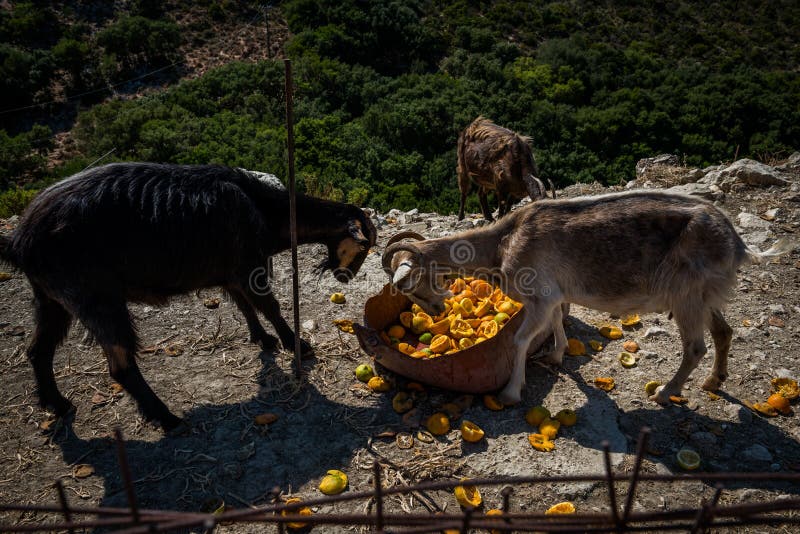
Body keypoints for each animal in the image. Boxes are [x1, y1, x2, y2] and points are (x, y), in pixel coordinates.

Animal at [0, 162, 377, 431]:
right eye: (363, 246)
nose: (346, 277)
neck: (264, 209)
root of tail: (19, 242)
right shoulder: (248, 264)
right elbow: (268, 305)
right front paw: (296, 344)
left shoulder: (230, 273)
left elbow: (244, 305)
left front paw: (264, 340)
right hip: (94, 295)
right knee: (120, 366)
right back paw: (166, 418)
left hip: (52, 297)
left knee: (38, 350)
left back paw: (59, 404)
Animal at [383, 190, 794, 405]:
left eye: (407, 285)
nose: (437, 310)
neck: (503, 242)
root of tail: (737, 242)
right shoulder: (552, 296)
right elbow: (555, 322)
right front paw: (556, 355)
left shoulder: (540, 294)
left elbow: (520, 340)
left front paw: (512, 392)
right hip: (708, 295)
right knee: (724, 332)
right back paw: (712, 383)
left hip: (687, 296)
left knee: (695, 346)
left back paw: (665, 392)